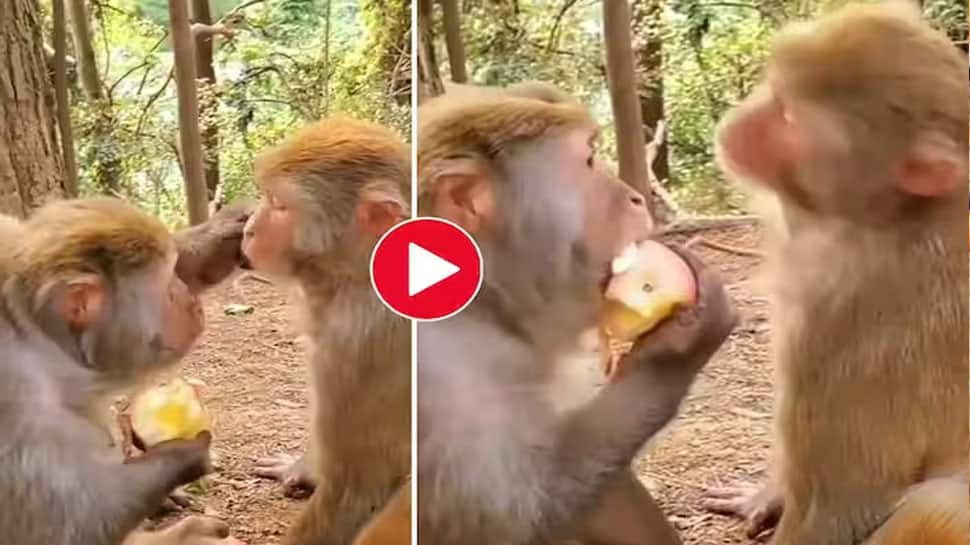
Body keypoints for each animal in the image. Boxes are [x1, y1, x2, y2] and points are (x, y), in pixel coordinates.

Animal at [0, 197, 246, 545]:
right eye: (167, 288)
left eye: (174, 272)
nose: (191, 301)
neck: (40, 340)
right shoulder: (14, 394)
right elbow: (63, 525)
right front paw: (185, 454)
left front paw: (224, 229)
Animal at [415, 89, 738, 544]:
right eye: (587, 161)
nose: (637, 197)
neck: (488, 300)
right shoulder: (445, 370)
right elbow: (514, 519)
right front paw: (677, 350)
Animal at [700, 4, 969, 545]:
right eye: (774, 85)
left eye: (788, 117)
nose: (743, 120)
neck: (890, 216)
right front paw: (765, 495)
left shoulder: (851, 322)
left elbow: (844, 506)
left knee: (941, 504)